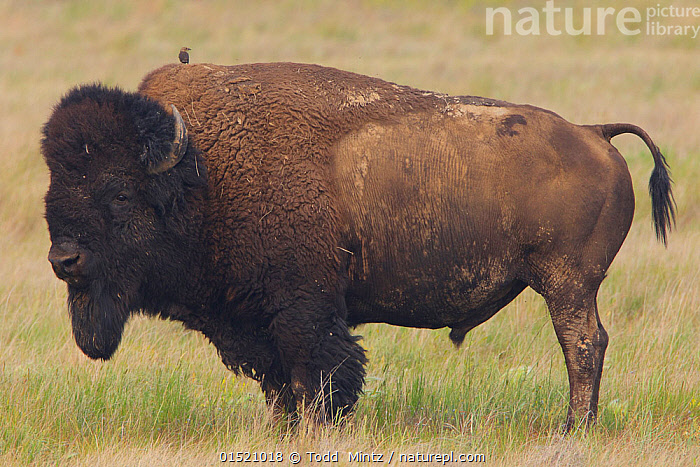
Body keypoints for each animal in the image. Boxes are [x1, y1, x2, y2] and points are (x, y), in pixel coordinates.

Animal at [43, 62, 674, 430]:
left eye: (120, 192)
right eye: (55, 183)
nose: (63, 259)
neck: (203, 174)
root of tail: (593, 133)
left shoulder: (304, 312)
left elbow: (318, 378)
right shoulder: (255, 323)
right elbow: (280, 386)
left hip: (568, 284)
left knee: (583, 345)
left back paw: (574, 428)